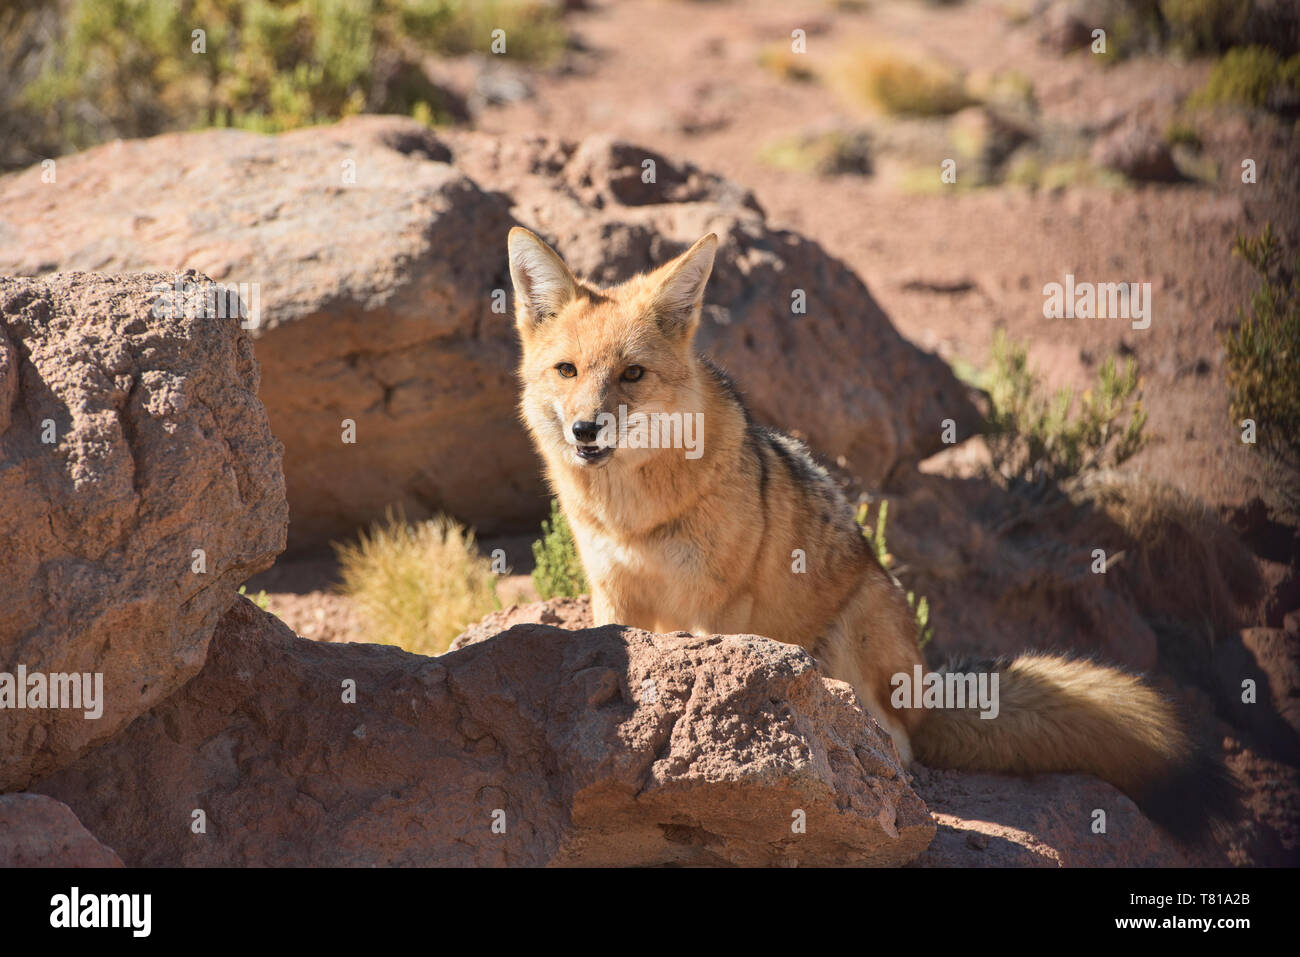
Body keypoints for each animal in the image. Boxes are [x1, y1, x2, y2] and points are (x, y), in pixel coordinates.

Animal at [507, 225, 1240, 843]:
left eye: (632, 374)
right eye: (568, 371)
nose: (585, 430)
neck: (635, 516)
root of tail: (929, 689)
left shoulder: (719, 606)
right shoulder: (614, 596)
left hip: (851, 631)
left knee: (896, 743)